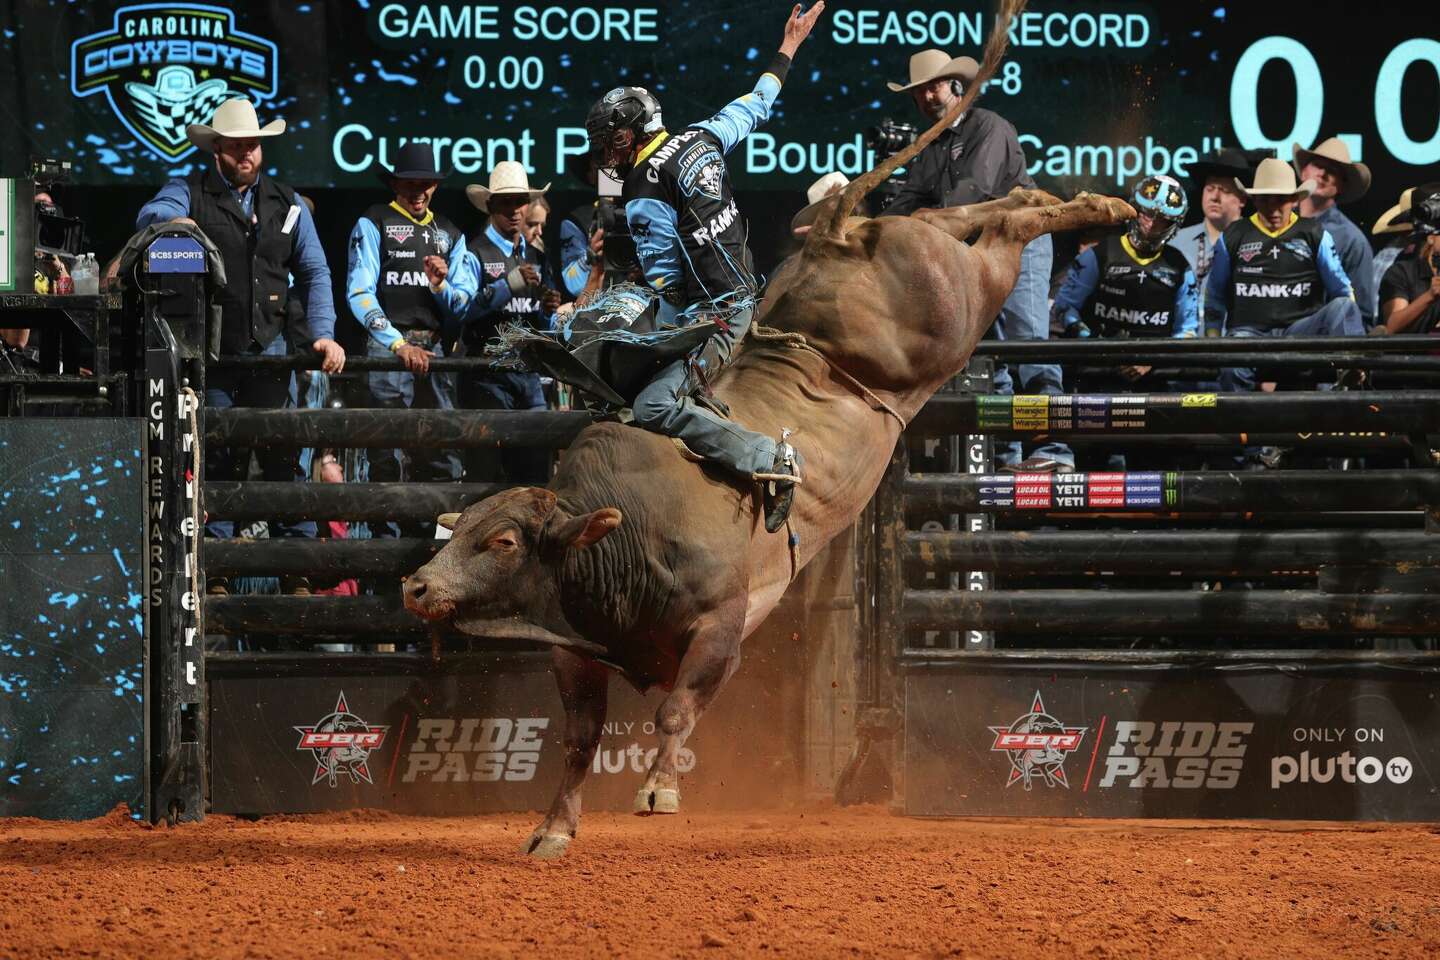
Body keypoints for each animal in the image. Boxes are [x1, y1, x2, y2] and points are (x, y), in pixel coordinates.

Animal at [403, 0, 1133, 858]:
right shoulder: (576, 654)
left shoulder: (724, 625)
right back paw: (1101, 204)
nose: (417, 587)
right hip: (927, 250)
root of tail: (836, 234)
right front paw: (553, 829)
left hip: (953, 310)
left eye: (503, 541)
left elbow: (675, 712)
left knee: (1008, 228)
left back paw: (1107, 210)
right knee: (985, 209)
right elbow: (580, 740)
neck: (620, 536)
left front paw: (659, 788)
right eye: (461, 528)